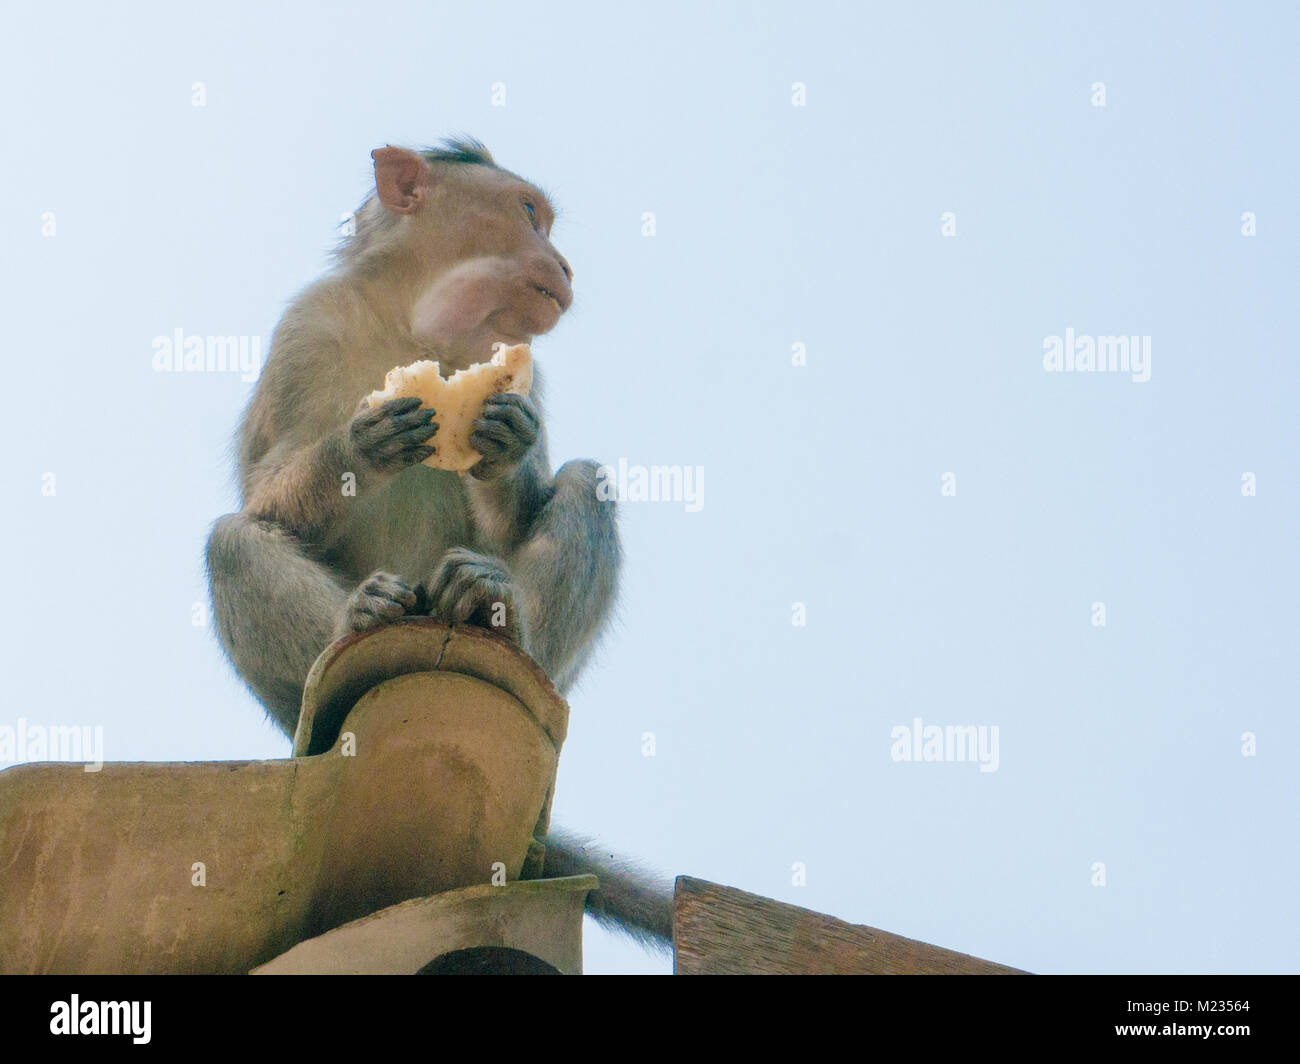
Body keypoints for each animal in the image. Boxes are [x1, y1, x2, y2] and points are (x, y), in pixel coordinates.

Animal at [205, 137, 671, 952]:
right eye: (528, 213)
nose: (565, 265)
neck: (422, 325)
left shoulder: (522, 364)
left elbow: (522, 511)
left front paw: (505, 446)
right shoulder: (305, 328)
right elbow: (263, 495)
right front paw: (359, 445)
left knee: (585, 484)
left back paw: (494, 611)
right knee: (232, 541)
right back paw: (366, 618)